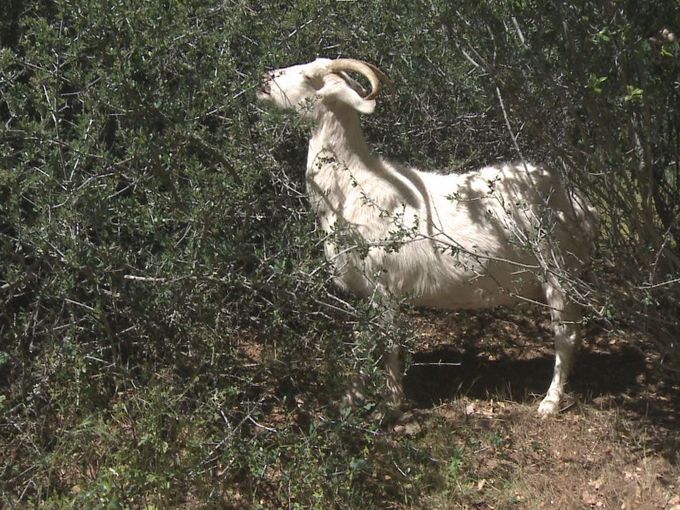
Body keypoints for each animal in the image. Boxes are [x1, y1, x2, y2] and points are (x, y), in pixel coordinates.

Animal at [257, 57, 597, 416]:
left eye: (311, 77)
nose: (264, 80)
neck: (352, 188)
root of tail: (578, 202)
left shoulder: (385, 287)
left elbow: (387, 344)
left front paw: (392, 403)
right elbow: (367, 342)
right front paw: (353, 396)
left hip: (558, 271)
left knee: (565, 336)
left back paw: (550, 402)